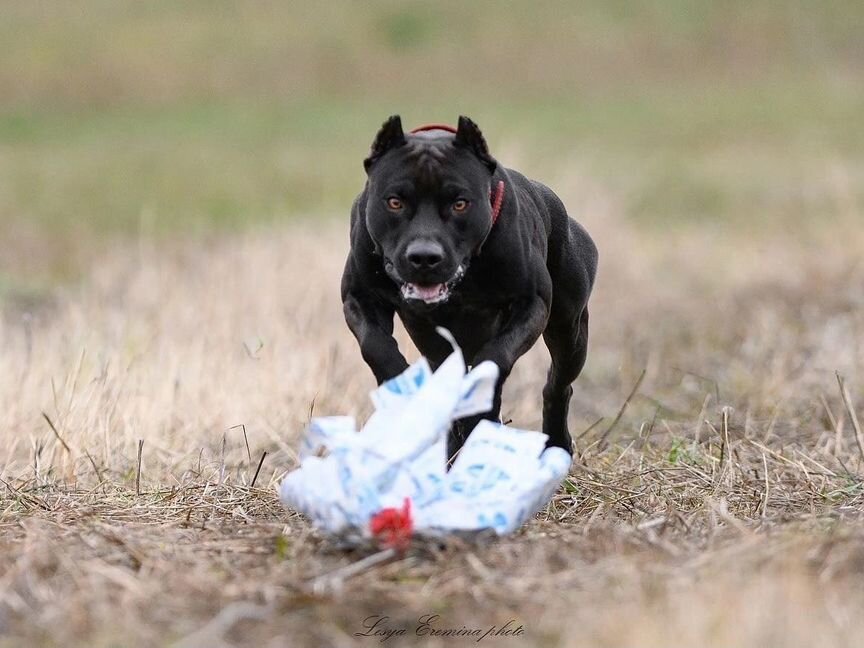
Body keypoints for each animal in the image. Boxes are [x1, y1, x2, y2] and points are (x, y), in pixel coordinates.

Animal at [340, 116, 596, 458]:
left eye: (460, 204)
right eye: (395, 202)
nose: (424, 256)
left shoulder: (532, 305)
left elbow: (495, 356)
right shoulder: (359, 298)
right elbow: (375, 345)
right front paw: (402, 386)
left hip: (569, 330)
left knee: (557, 385)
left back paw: (553, 442)